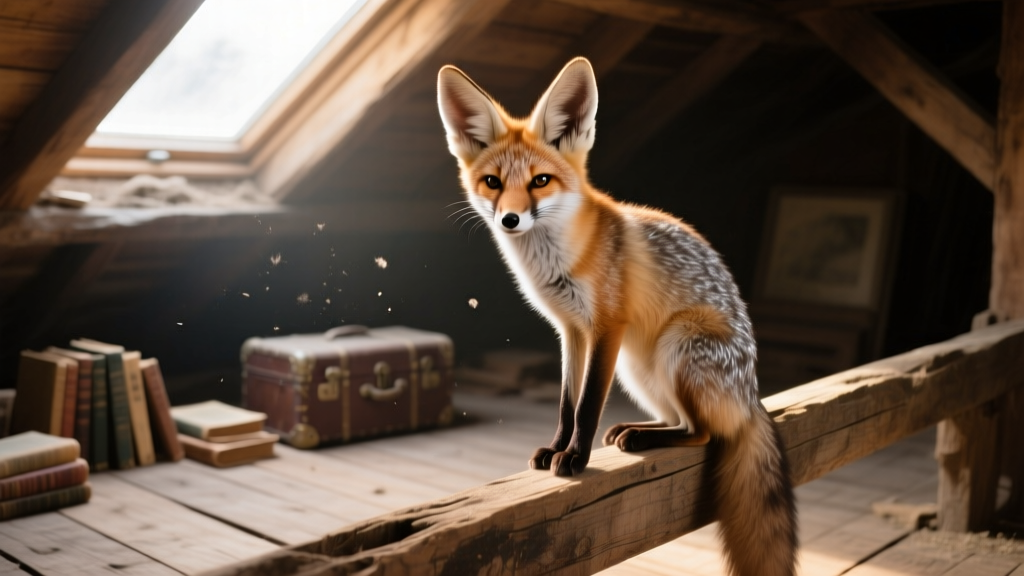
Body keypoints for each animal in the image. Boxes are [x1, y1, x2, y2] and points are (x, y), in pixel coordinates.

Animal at [437, 57, 796, 576]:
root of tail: (752, 399)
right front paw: (556, 448)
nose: (510, 220)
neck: (558, 261)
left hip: (675, 345)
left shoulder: (607, 325)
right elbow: (567, 402)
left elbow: (587, 404)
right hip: (639, 369)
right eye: (493, 183)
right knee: (681, 422)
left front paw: (575, 458)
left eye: (540, 181)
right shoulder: (569, 330)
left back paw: (642, 439)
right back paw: (636, 432)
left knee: (704, 433)